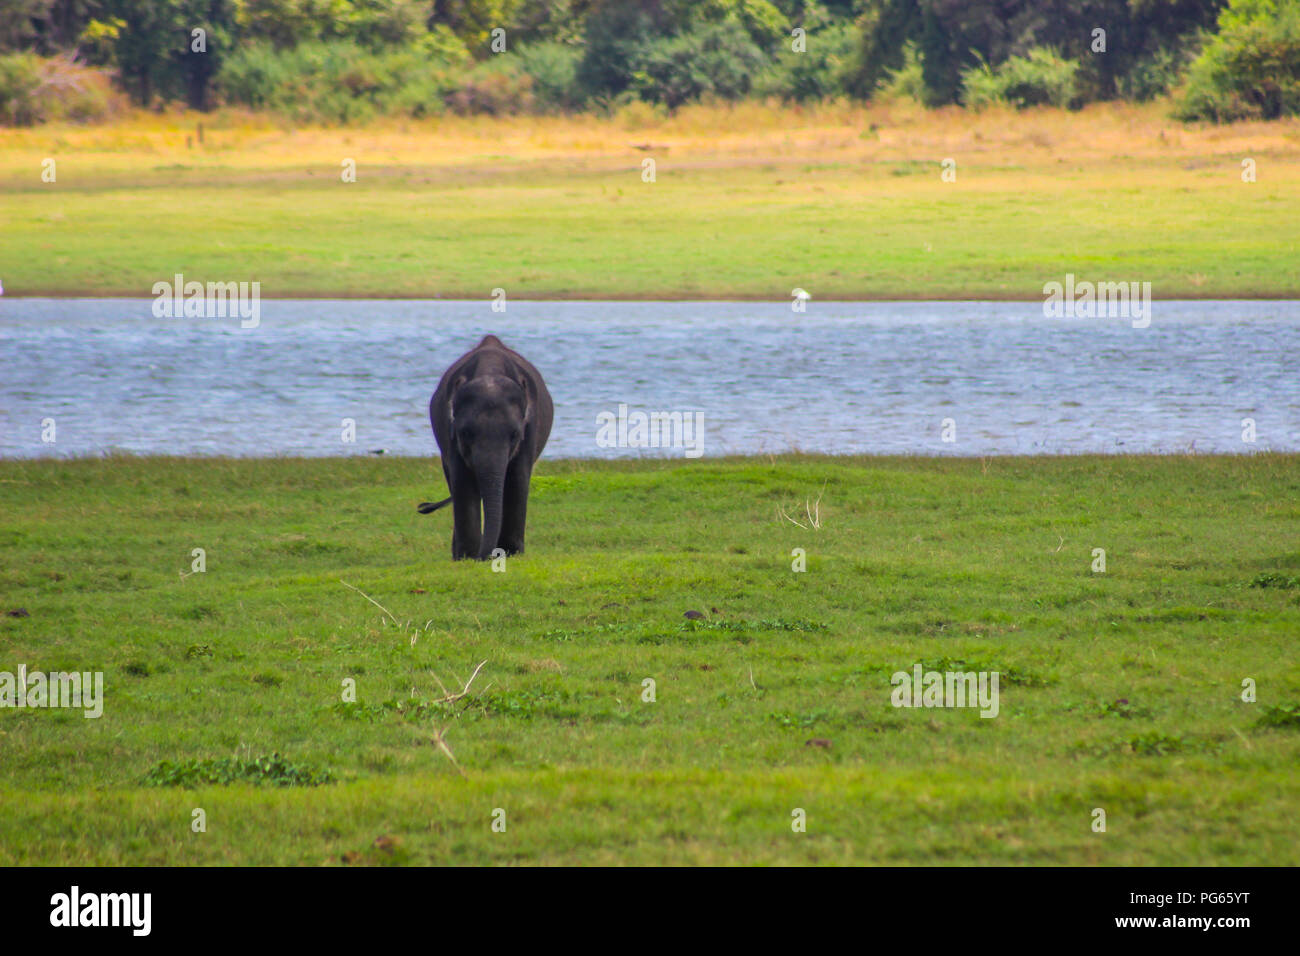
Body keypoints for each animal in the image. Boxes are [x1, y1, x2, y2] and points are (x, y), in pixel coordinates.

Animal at [417, 334, 554, 561]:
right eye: (465, 433)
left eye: (515, 435)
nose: (422, 506)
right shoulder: (449, 430)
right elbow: (462, 480)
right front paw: (468, 556)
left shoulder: (530, 428)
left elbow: (517, 477)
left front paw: (510, 552)